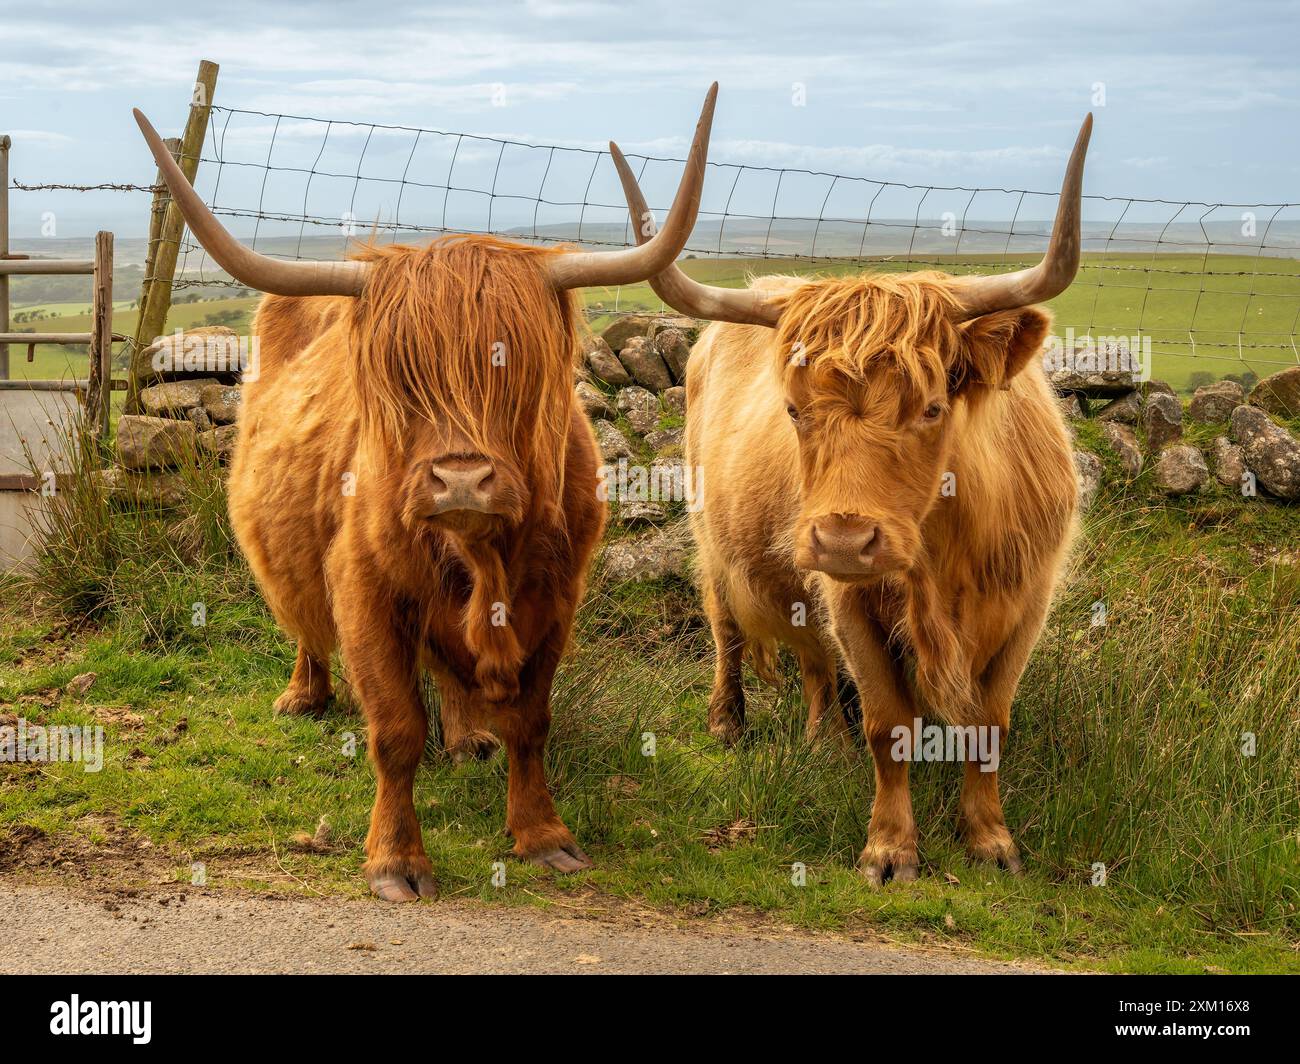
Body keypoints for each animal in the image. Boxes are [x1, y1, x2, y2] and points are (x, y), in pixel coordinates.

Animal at [132, 86, 717, 901]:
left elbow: (531, 723)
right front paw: (396, 859)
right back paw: (305, 695)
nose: (462, 480)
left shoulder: (557, 599)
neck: (484, 556)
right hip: (290, 556)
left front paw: (544, 836)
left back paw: (469, 736)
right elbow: (396, 730)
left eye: (517, 366)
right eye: (398, 376)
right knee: (303, 619)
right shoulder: (365, 589)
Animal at [611, 113, 1091, 884]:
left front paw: (990, 840)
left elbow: (990, 722)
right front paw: (890, 849)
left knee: (810, 656)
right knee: (729, 630)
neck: (942, 553)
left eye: (932, 408)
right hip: (717, 547)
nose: (842, 540)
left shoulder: (1027, 603)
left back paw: (821, 740)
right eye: (794, 410)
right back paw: (732, 722)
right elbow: (886, 724)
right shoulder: (854, 602)